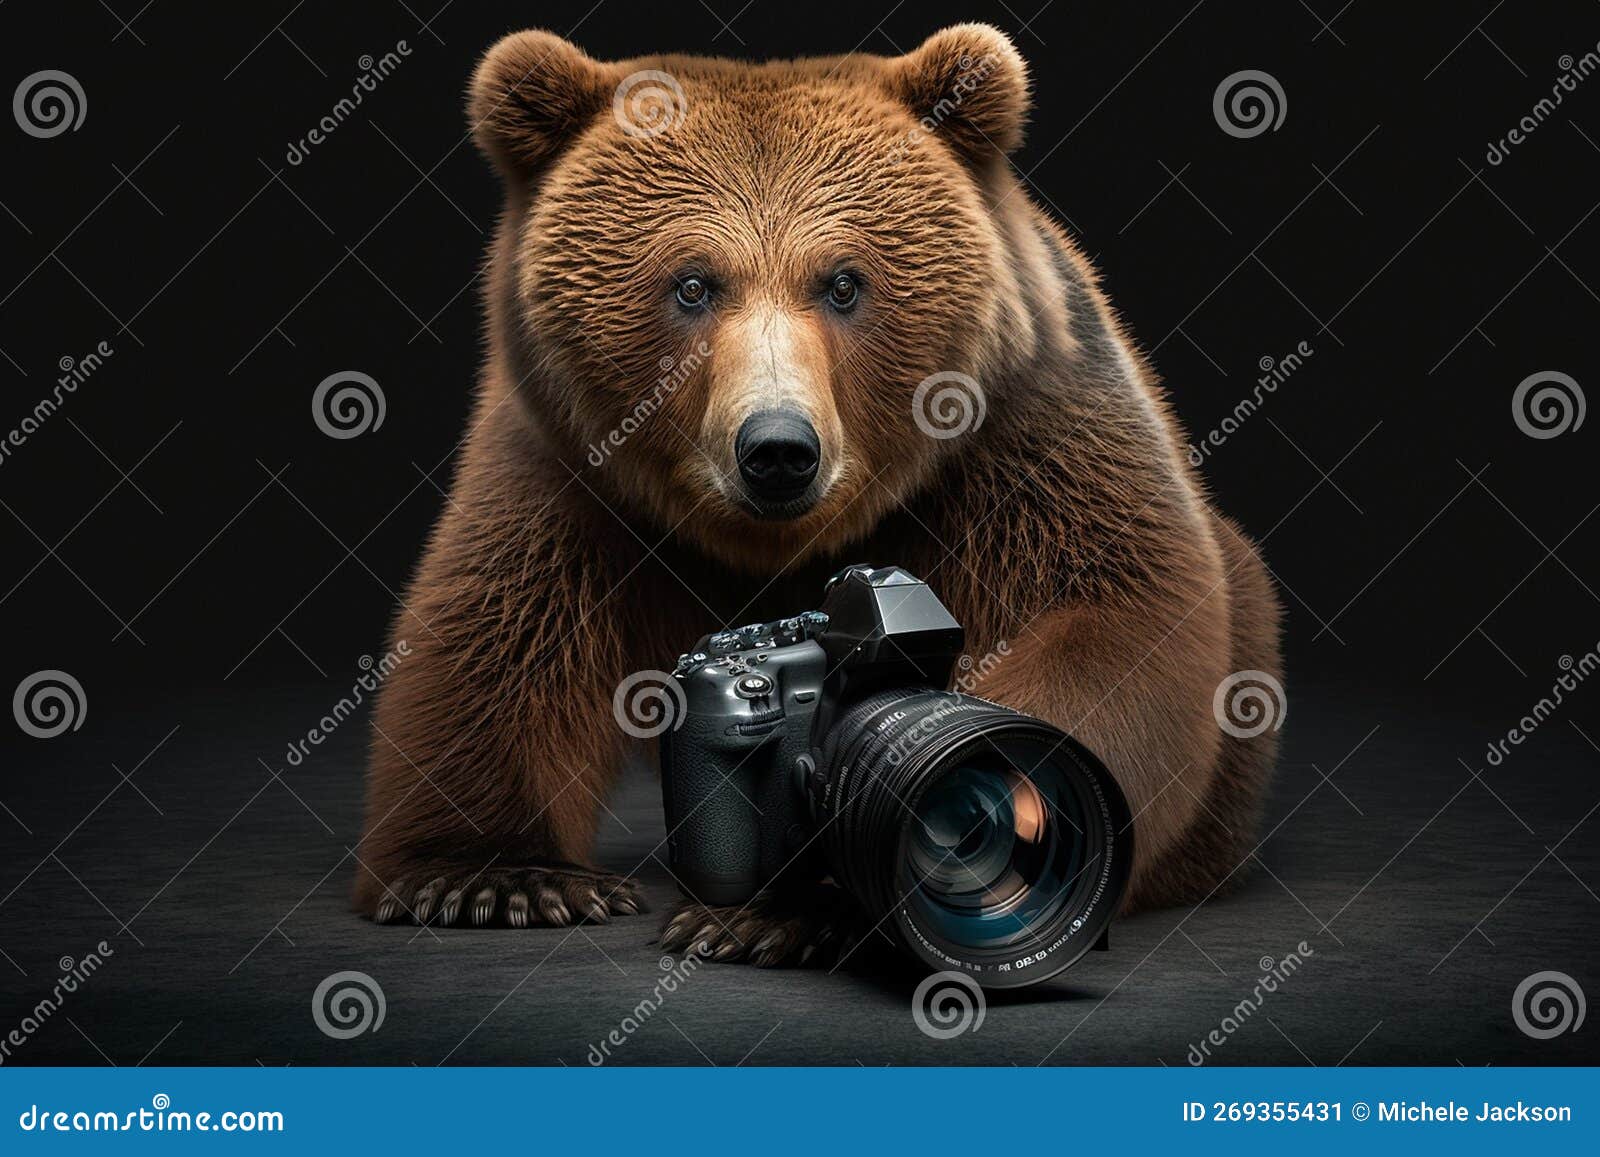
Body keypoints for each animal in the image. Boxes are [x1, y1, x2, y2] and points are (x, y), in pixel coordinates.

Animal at [352, 23, 1283, 965]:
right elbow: (495, 640)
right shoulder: (569, 467)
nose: (777, 450)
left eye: (844, 282)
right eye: (693, 283)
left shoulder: (1023, 432)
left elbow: (1113, 613)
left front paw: (787, 908)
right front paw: (496, 877)